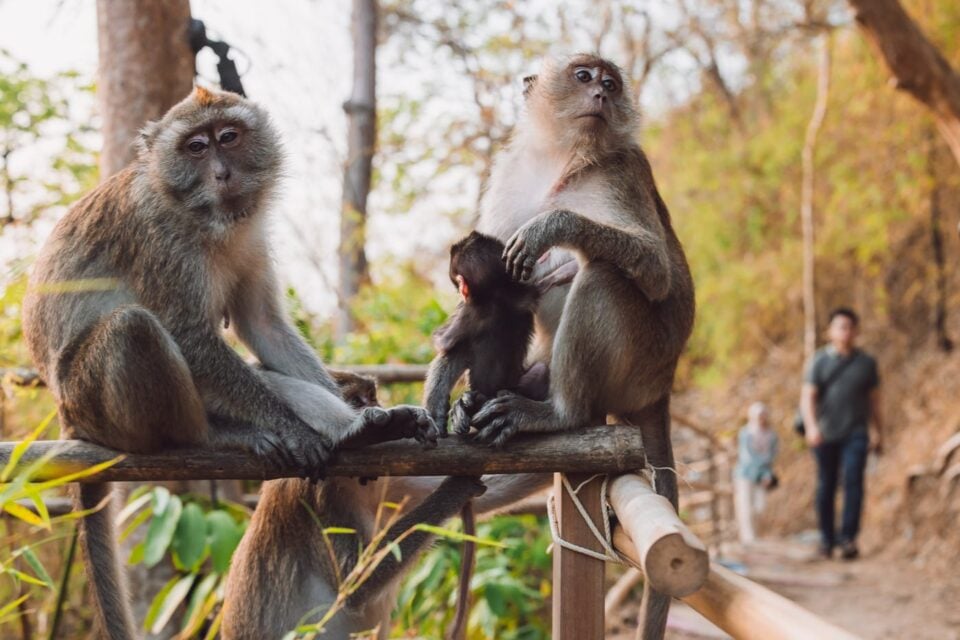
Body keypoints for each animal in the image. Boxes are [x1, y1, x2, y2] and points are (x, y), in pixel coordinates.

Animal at [21, 86, 437, 640]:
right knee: (135, 328)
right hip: (95, 404)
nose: (222, 173)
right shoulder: (161, 239)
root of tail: (68, 417)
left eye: (229, 137)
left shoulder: (251, 236)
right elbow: (188, 334)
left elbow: (263, 326)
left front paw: (356, 409)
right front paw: (295, 429)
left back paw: (363, 431)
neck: (199, 215)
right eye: (196, 147)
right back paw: (215, 436)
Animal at [472, 54, 696, 640]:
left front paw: (554, 224)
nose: (601, 94)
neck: (562, 156)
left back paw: (558, 413)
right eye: (583, 77)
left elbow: (655, 271)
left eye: (611, 83)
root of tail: (662, 384)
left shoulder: (623, 170)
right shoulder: (509, 173)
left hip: (639, 360)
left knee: (604, 276)